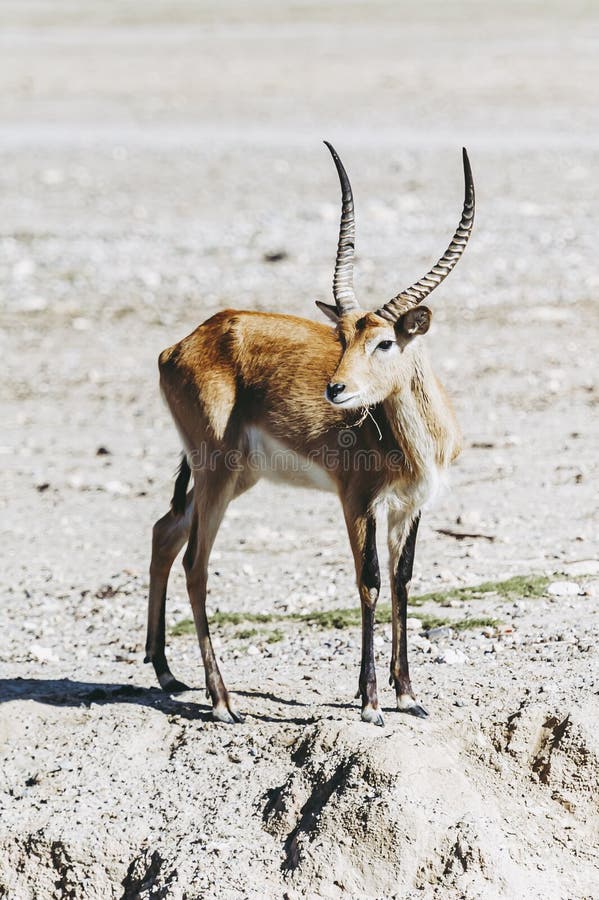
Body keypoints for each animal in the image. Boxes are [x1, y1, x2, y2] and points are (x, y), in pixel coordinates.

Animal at [145, 142, 474, 725]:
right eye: (340, 337)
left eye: (385, 342)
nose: (335, 390)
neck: (408, 441)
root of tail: (185, 342)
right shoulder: (358, 500)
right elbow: (369, 581)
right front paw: (370, 703)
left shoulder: (412, 504)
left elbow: (402, 579)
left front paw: (407, 695)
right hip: (216, 474)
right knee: (195, 562)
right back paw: (222, 702)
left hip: (236, 477)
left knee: (165, 532)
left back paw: (166, 673)